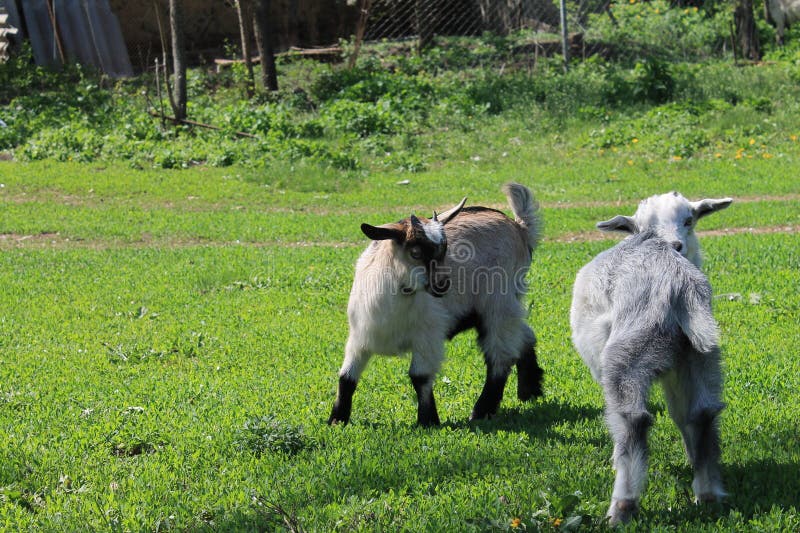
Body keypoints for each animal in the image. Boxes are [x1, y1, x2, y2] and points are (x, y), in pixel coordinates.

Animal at [328, 183, 544, 426]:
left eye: (444, 250)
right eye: (415, 252)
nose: (443, 284)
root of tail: (519, 228)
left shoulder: (428, 335)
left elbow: (419, 377)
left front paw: (428, 420)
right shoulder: (360, 337)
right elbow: (346, 377)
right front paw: (337, 420)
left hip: (498, 305)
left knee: (501, 355)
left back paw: (482, 410)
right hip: (508, 304)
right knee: (524, 334)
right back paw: (530, 389)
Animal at [569, 192, 732, 525]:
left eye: (689, 219)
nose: (676, 244)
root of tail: (681, 286)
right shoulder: (677, 373)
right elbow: (679, 414)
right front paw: (690, 458)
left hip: (628, 354)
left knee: (633, 420)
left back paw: (622, 506)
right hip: (702, 355)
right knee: (702, 413)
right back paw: (708, 493)